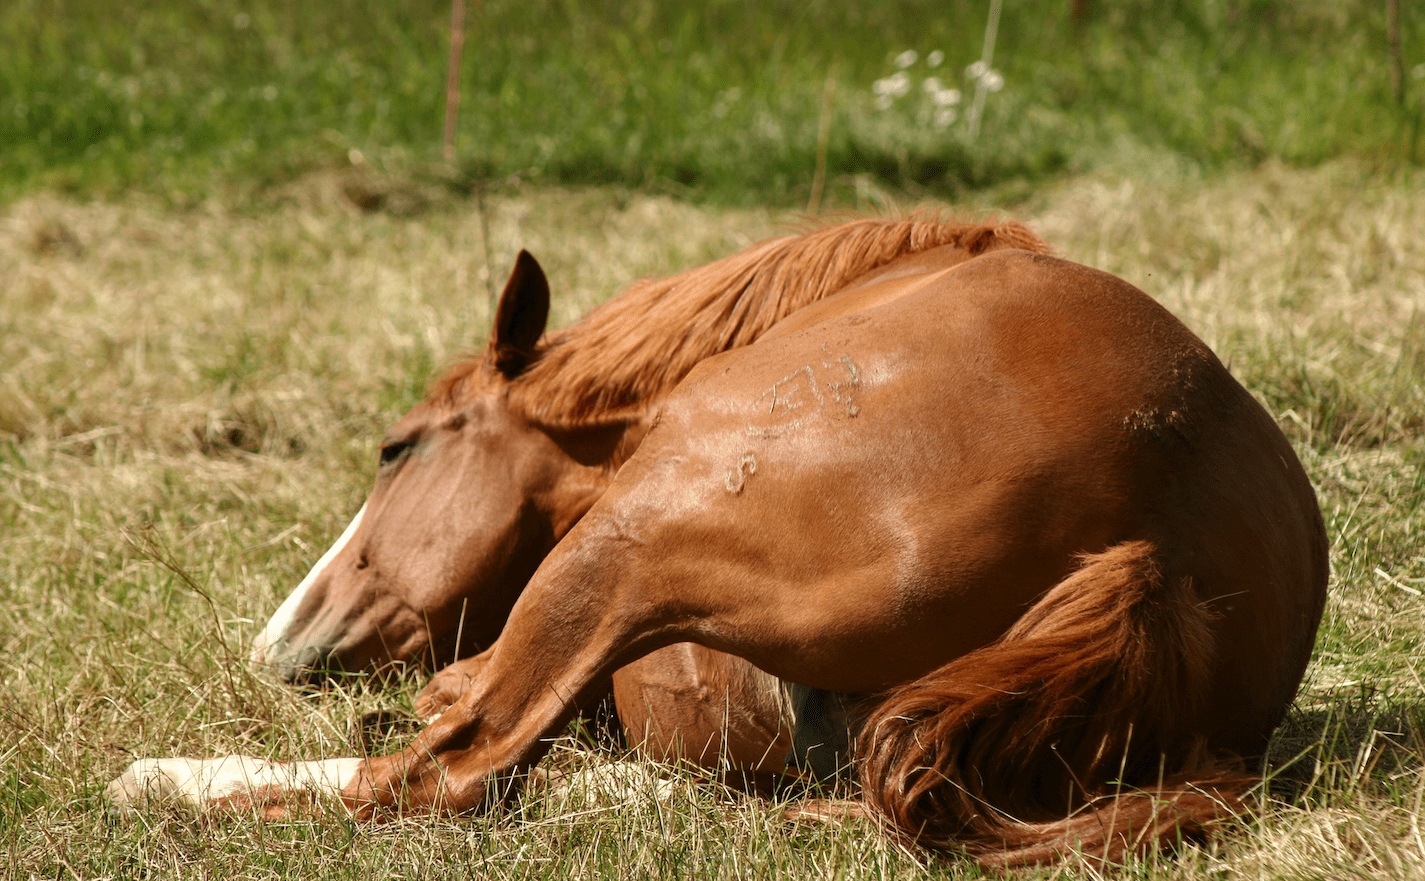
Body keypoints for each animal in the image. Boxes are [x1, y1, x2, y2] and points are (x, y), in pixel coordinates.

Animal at [108, 217, 1329, 868]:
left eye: (397, 448)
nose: (278, 637)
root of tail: (1155, 551)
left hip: (622, 550)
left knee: (444, 777)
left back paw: (167, 777)